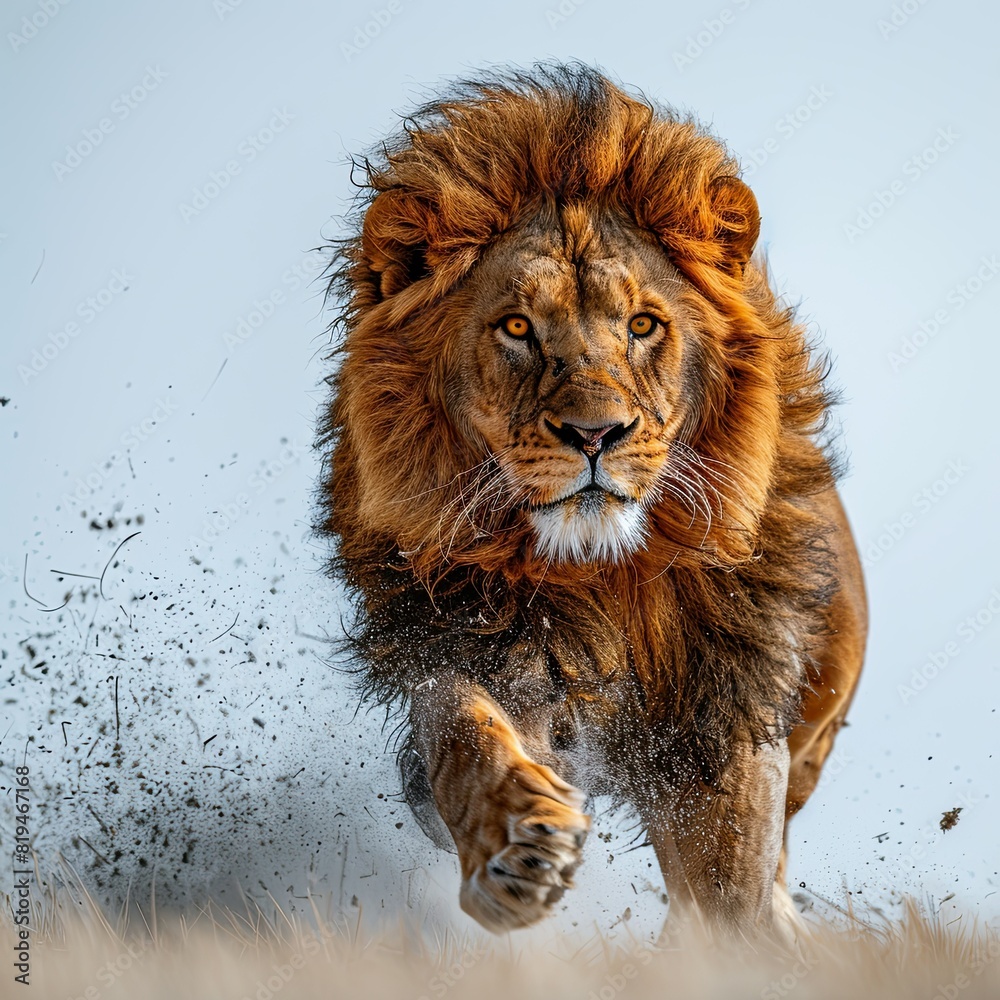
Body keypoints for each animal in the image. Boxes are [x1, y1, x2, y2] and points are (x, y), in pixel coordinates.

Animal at [318, 64, 867, 937]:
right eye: (516, 328)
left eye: (643, 325)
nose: (595, 433)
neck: (601, 577)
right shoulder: (462, 644)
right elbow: (461, 732)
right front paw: (516, 848)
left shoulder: (721, 726)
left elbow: (729, 888)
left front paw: (742, 940)